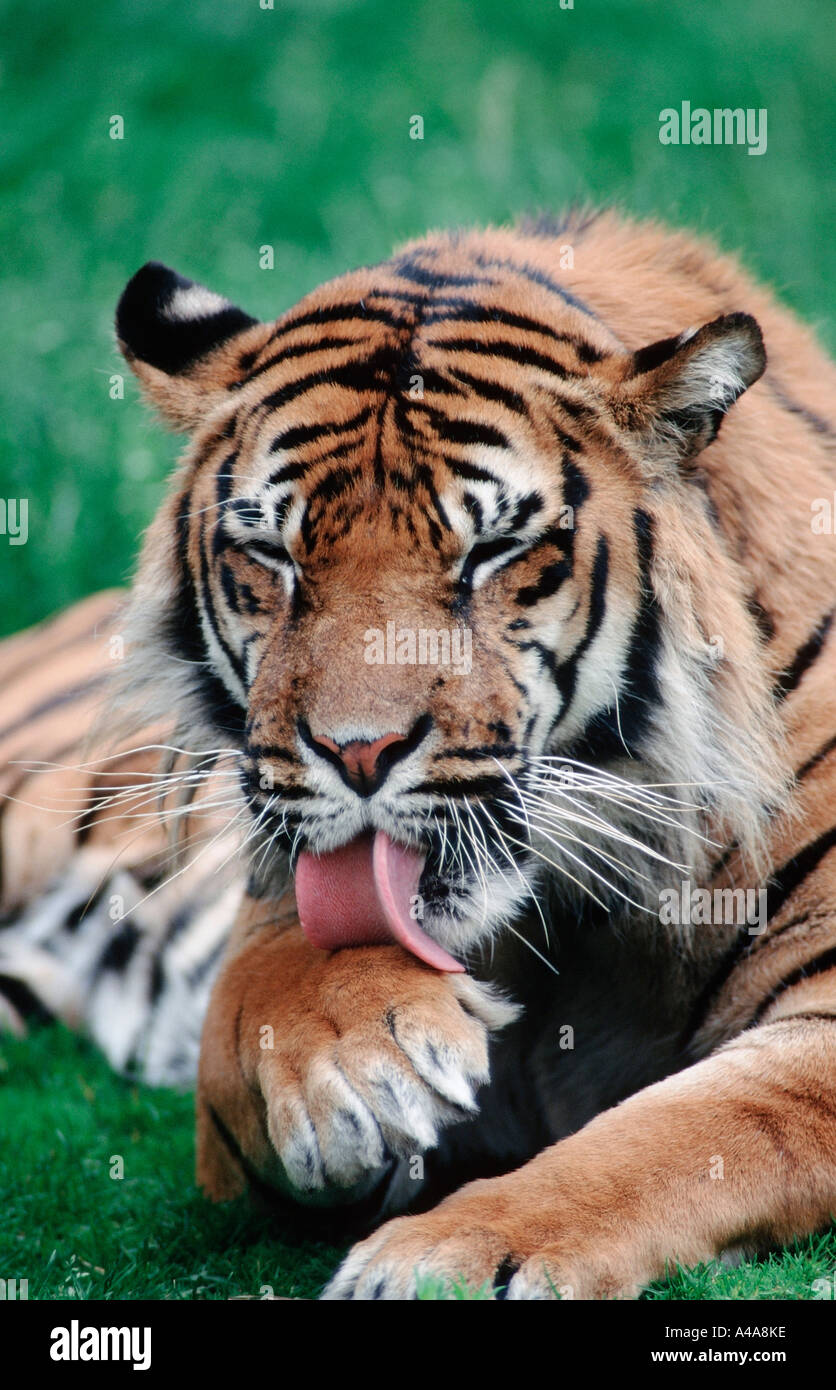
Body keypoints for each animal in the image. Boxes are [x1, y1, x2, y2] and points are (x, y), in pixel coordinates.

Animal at [2, 208, 835, 1300]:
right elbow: (260, 994)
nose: (358, 754)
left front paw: (452, 1254)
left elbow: (685, 1134)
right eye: (275, 556)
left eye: (490, 553)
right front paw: (354, 1060)